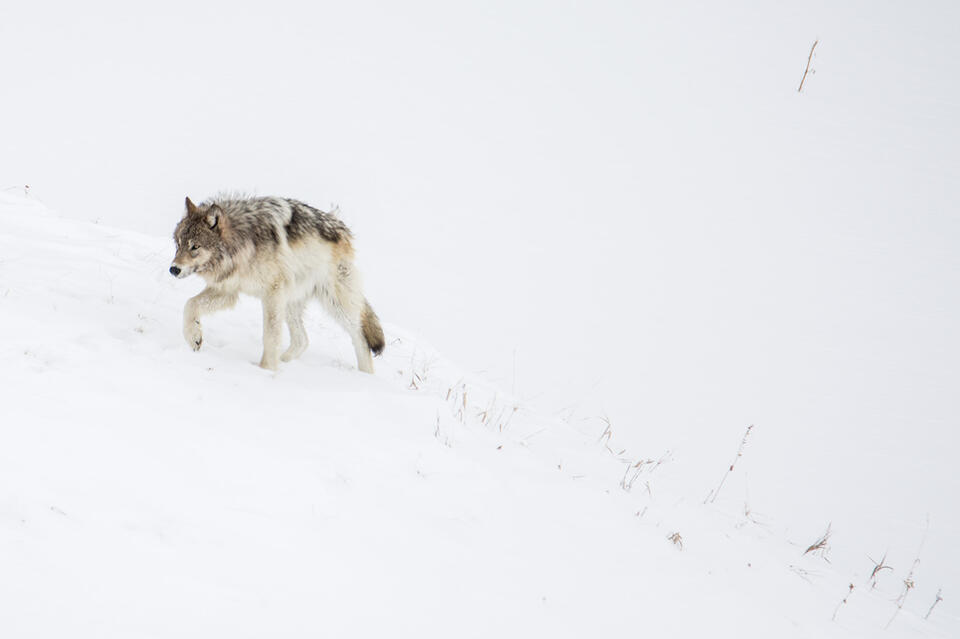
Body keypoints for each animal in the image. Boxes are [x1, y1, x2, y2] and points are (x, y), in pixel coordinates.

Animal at [169, 195, 385, 372]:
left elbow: (270, 336)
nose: (173, 269)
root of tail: (343, 229)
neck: (243, 243)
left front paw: (266, 370)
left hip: (334, 303)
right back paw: (283, 361)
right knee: (302, 340)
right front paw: (193, 337)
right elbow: (190, 305)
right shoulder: (228, 291)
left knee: (360, 337)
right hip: (290, 303)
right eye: (178, 244)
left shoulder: (271, 293)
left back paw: (366, 376)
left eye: (195, 247)